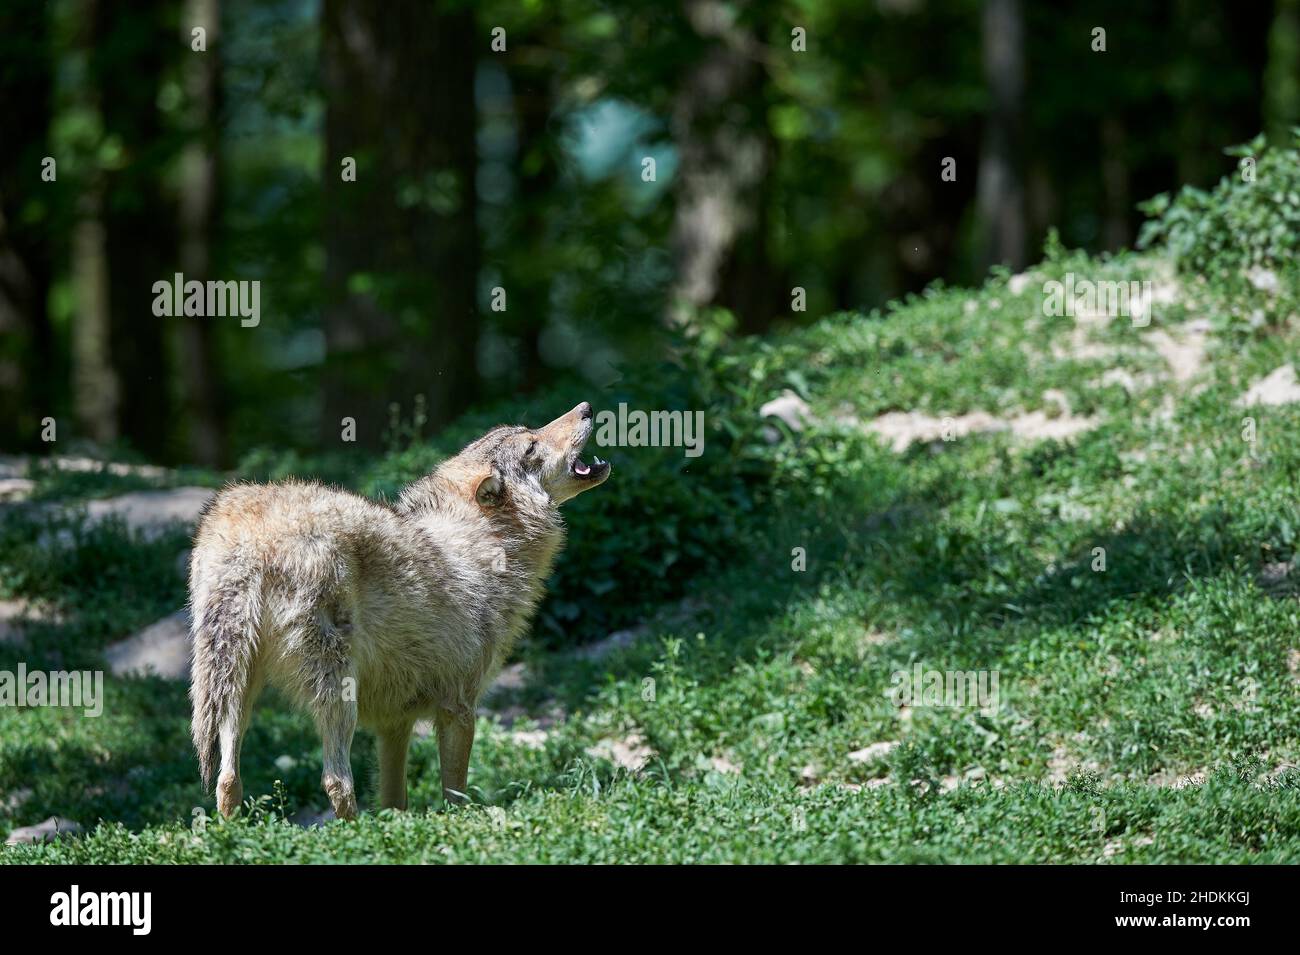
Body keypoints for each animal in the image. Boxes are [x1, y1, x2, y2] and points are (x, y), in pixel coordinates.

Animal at [188, 403, 611, 819]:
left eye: (530, 431)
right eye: (531, 447)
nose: (587, 408)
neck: (482, 542)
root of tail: (249, 540)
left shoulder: (394, 722)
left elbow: (395, 800)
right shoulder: (459, 706)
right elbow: (455, 793)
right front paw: (457, 823)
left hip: (237, 691)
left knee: (228, 781)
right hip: (336, 692)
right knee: (335, 780)